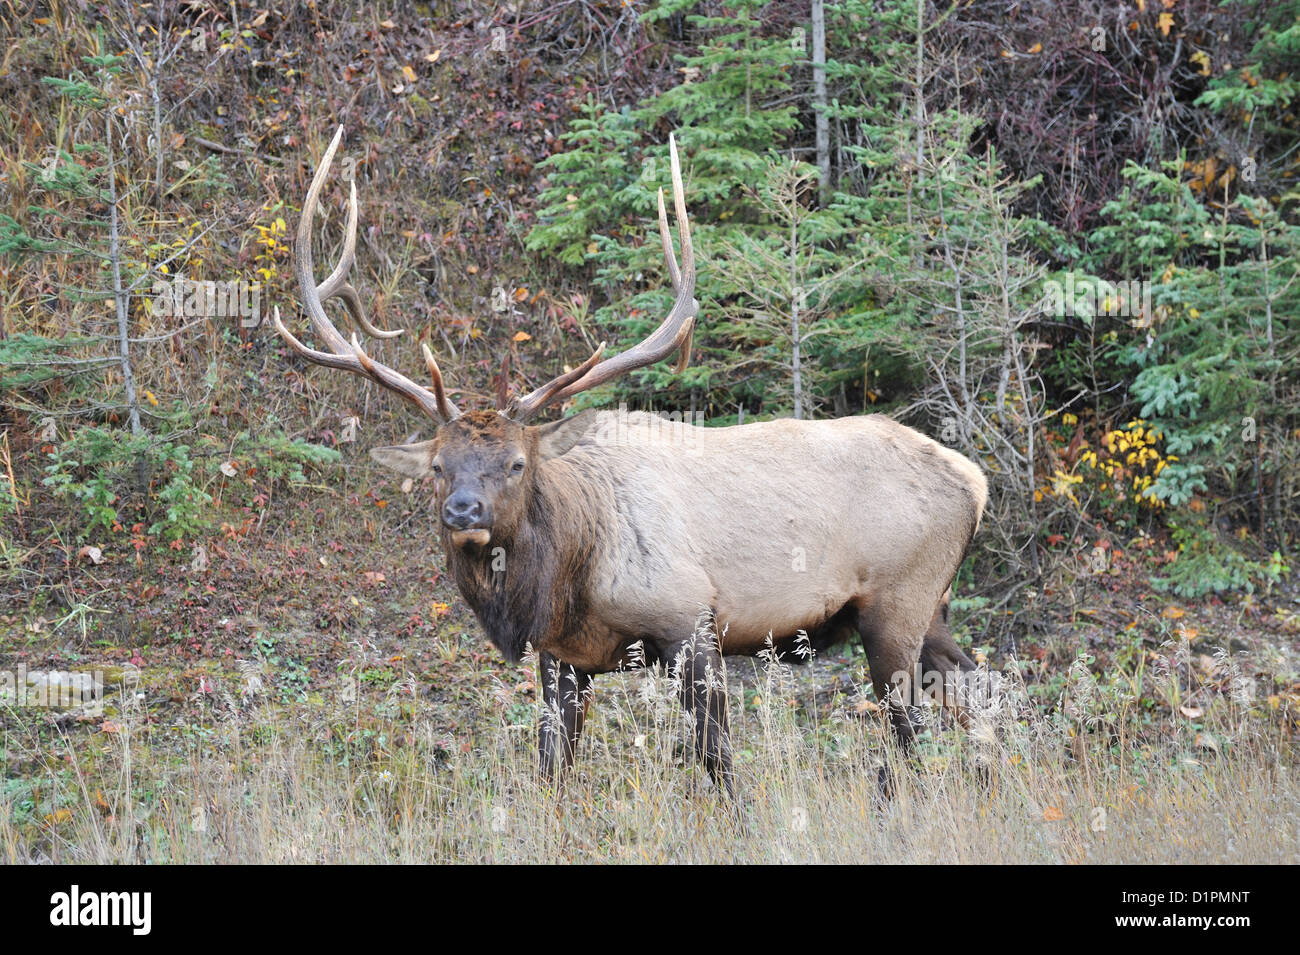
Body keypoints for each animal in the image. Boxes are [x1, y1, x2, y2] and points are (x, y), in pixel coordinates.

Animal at [273, 127, 988, 799]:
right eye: (438, 466)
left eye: (516, 463)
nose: (463, 511)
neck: (566, 578)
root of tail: (975, 480)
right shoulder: (562, 658)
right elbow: (552, 767)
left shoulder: (689, 620)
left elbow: (718, 760)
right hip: (934, 607)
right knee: (973, 690)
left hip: (897, 600)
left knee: (910, 727)